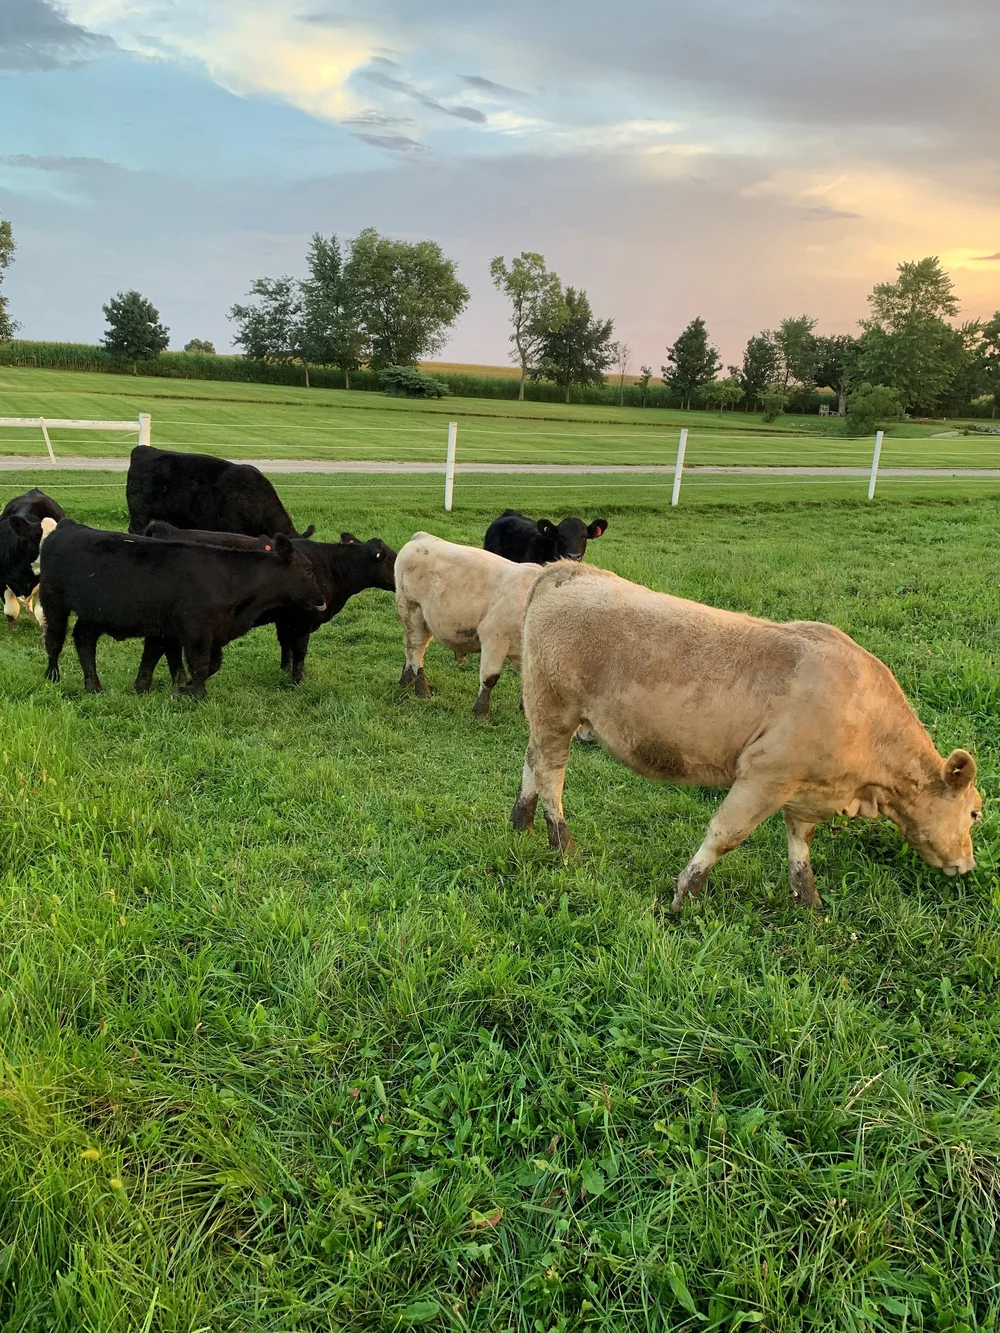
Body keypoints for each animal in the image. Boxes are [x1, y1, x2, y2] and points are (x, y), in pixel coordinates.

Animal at [39, 519, 326, 699]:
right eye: (309, 570)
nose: (322, 600)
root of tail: (68, 526)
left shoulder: (175, 630)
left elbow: (167, 659)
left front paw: (149, 688)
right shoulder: (195, 632)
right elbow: (199, 662)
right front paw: (192, 693)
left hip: (94, 613)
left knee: (84, 639)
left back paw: (93, 686)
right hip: (53, 602)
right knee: (54, 640)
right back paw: (52, 676)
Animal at [138, 521, 396, 686]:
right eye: (393, 559)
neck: (328, 567)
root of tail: (163, 529)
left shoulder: (286, 621)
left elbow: (286, 645)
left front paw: (284, 670)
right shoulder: (303, 621)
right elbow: (299, 650)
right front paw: (297, 681)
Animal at [395, 532, 545, 717]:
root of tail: (423, 537)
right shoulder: (494, 637)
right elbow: (490, 678)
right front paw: (480, 712)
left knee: (410, 648)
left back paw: (405, 681)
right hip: (412, 610)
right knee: (416, 649)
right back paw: (422, 691)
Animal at [512, 563, 981, 910]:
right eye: (976, 813)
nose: (969, 864)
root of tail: (569, 569)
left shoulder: (806, 789)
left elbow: (801, 844)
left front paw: (808, 900)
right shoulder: (765, 776)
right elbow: (726, 834)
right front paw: (684, 894)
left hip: (544, 713)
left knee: (532, 761)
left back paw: (521, 823)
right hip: (556, 709)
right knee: (551, 774)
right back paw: (562, 845)